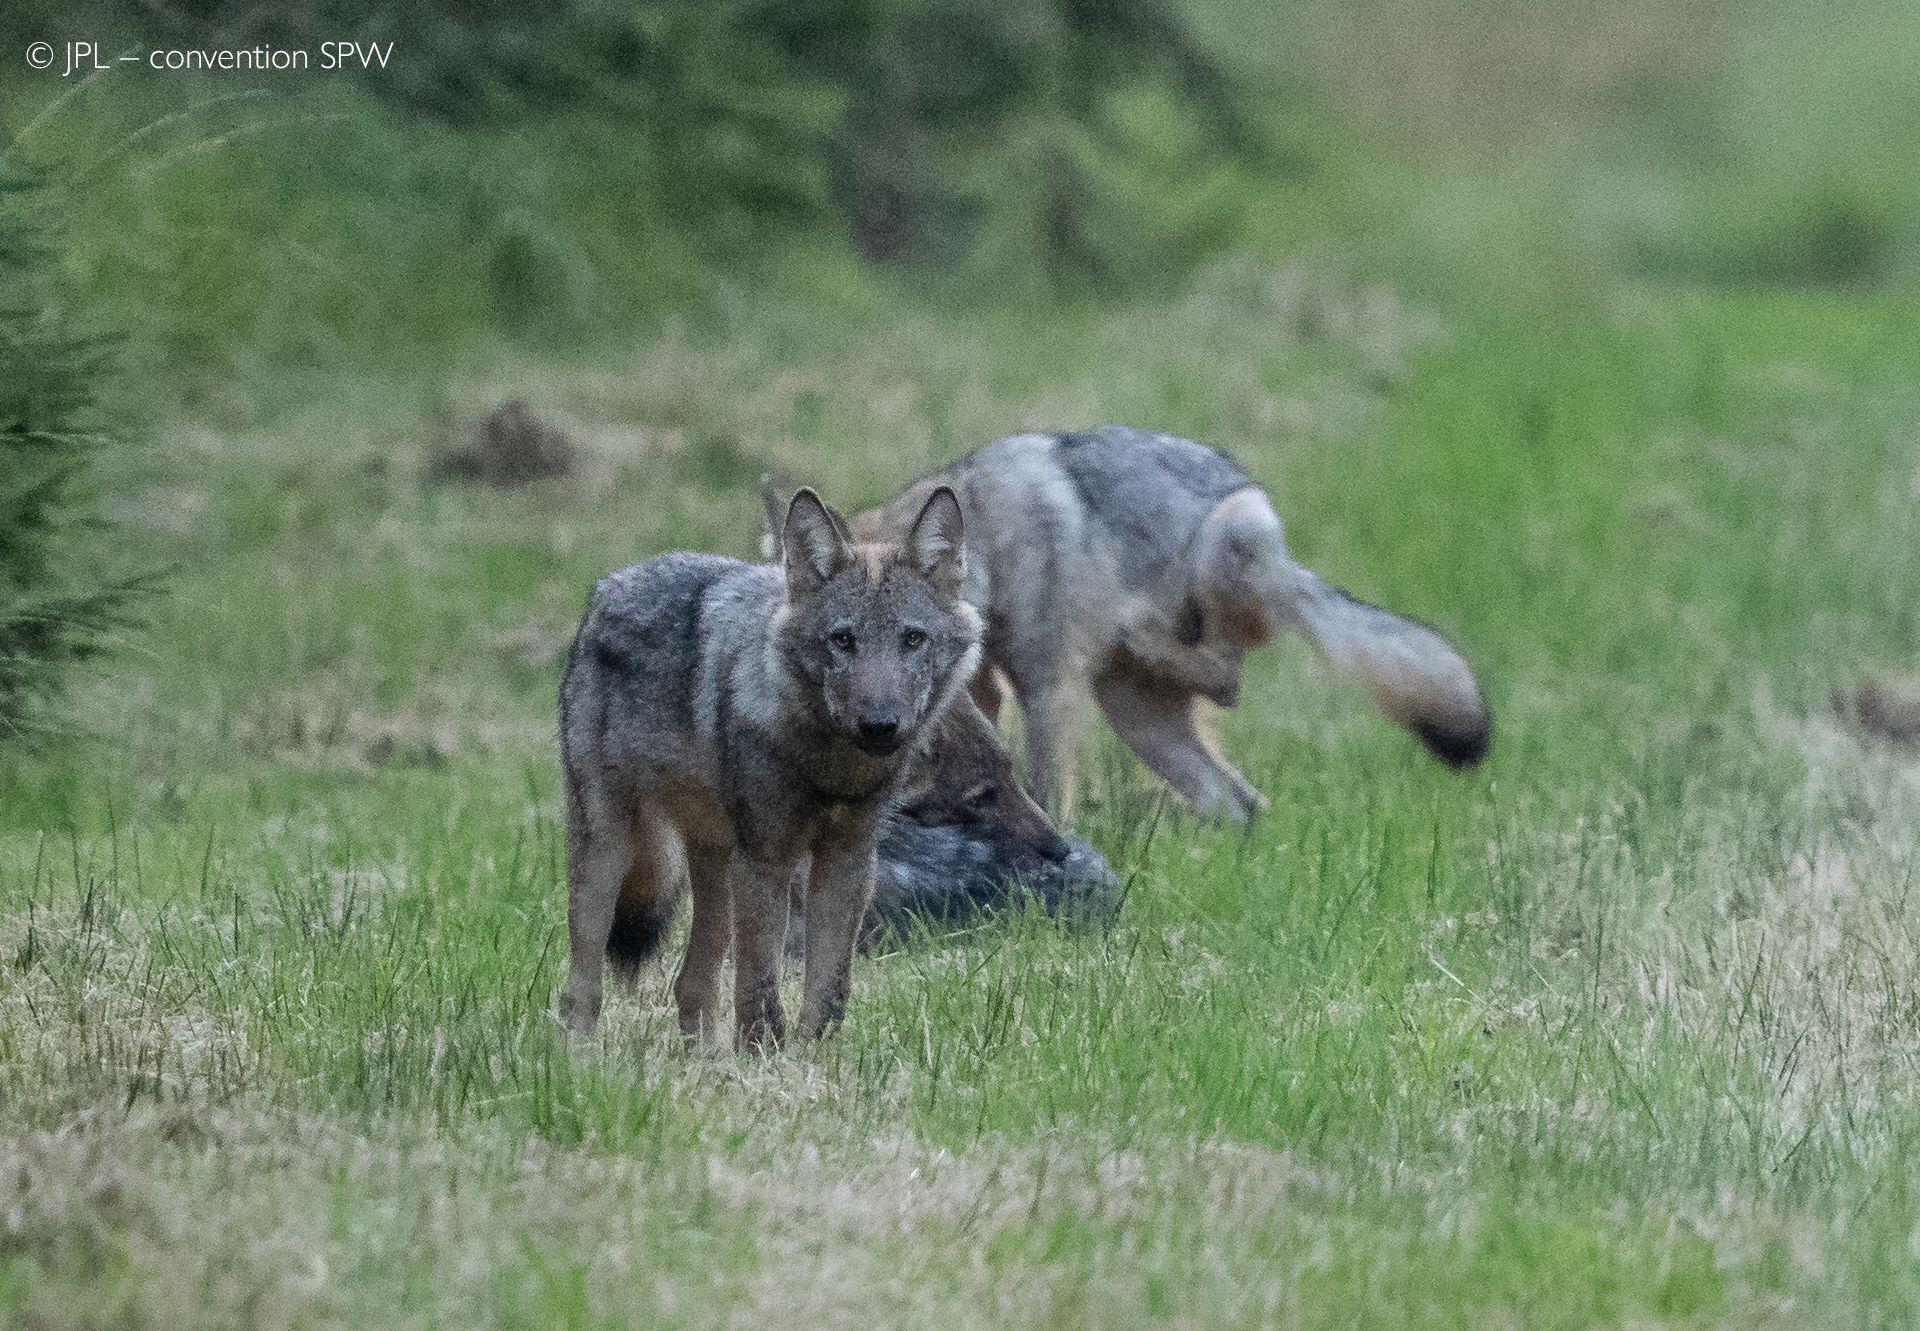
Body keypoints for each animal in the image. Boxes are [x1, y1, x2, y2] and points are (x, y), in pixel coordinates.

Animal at [558, 486, 981, 1048]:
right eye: (843, 640)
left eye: (912, 639)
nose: (879, 725)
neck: (829, 769)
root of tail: (605, 589)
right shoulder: (767, 857)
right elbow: (759, 980)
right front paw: (764, 1051)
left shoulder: (847, 860)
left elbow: (830, 986)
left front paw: (813, 1055)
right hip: (610, 851)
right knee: (581, 988)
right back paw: (577, 1058)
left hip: (716, 869)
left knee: (691, 985)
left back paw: (706, 1061)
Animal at [835, 426, 1491, 820]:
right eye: (839, 641)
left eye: (905, 636)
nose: (873, 717)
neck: (993, 535)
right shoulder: (980, 696)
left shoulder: (1048, 690)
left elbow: (1044, 788)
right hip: (1141, 721)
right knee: (1243, 802)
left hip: (1221, 559)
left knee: (1228, 682)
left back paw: (1139, 630)